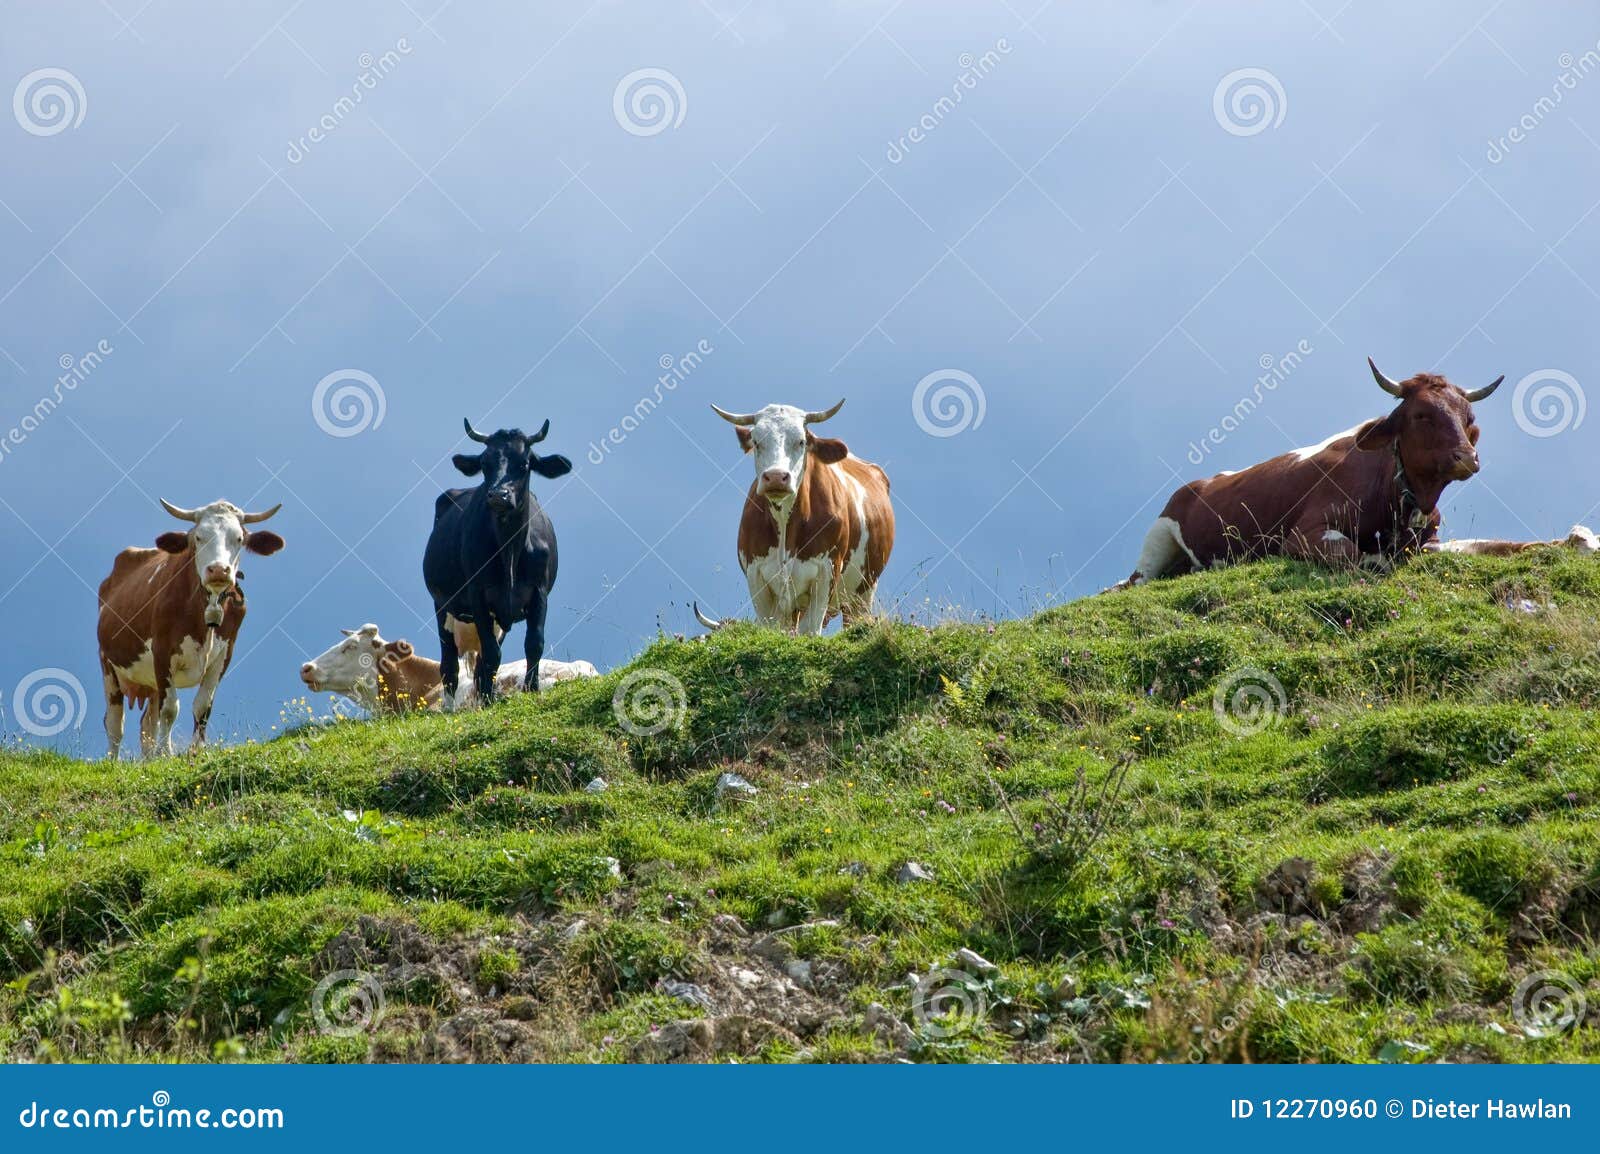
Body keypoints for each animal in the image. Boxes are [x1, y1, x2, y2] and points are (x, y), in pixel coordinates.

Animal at [97, 499, 284, 759]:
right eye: (198, 537)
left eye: (239, 538)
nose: (218, 570)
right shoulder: (162, 652)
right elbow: (169, 709)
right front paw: (166, 753)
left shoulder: (224, 655)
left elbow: (202, 706)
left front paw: (197, 751)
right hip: (108, 665)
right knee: (115, 723)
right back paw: (113, 761)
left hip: (150, 681)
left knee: (147, 724)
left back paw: (148, 760)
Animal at [423, 418, 571, 704]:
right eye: (484, 464)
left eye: (524, 464)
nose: (498, 495)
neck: (510, 550)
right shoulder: (478, 596)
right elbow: (492, 655)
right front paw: (490, 703)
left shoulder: (539, 592)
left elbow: (533, 644)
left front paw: (531, 690)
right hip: (442, 605)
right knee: (449, 665)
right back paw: (451, 706)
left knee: (479, 666)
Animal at [696, 399, 893, 634]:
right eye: (756, 441)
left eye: (801, 441)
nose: (775, 477)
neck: (785, 527)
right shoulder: (757, 577)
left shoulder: (826, 573)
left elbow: (810, 630)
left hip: (862, 593)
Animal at [1119, 360, 1503, 586]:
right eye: (1421, 414)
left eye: (1468, 417)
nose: (1467, 457)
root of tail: (1200, 482)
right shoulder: (1302, 534)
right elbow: (1353, 553)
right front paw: (1375, 559)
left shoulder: (1430, 538)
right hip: (1156, 541)